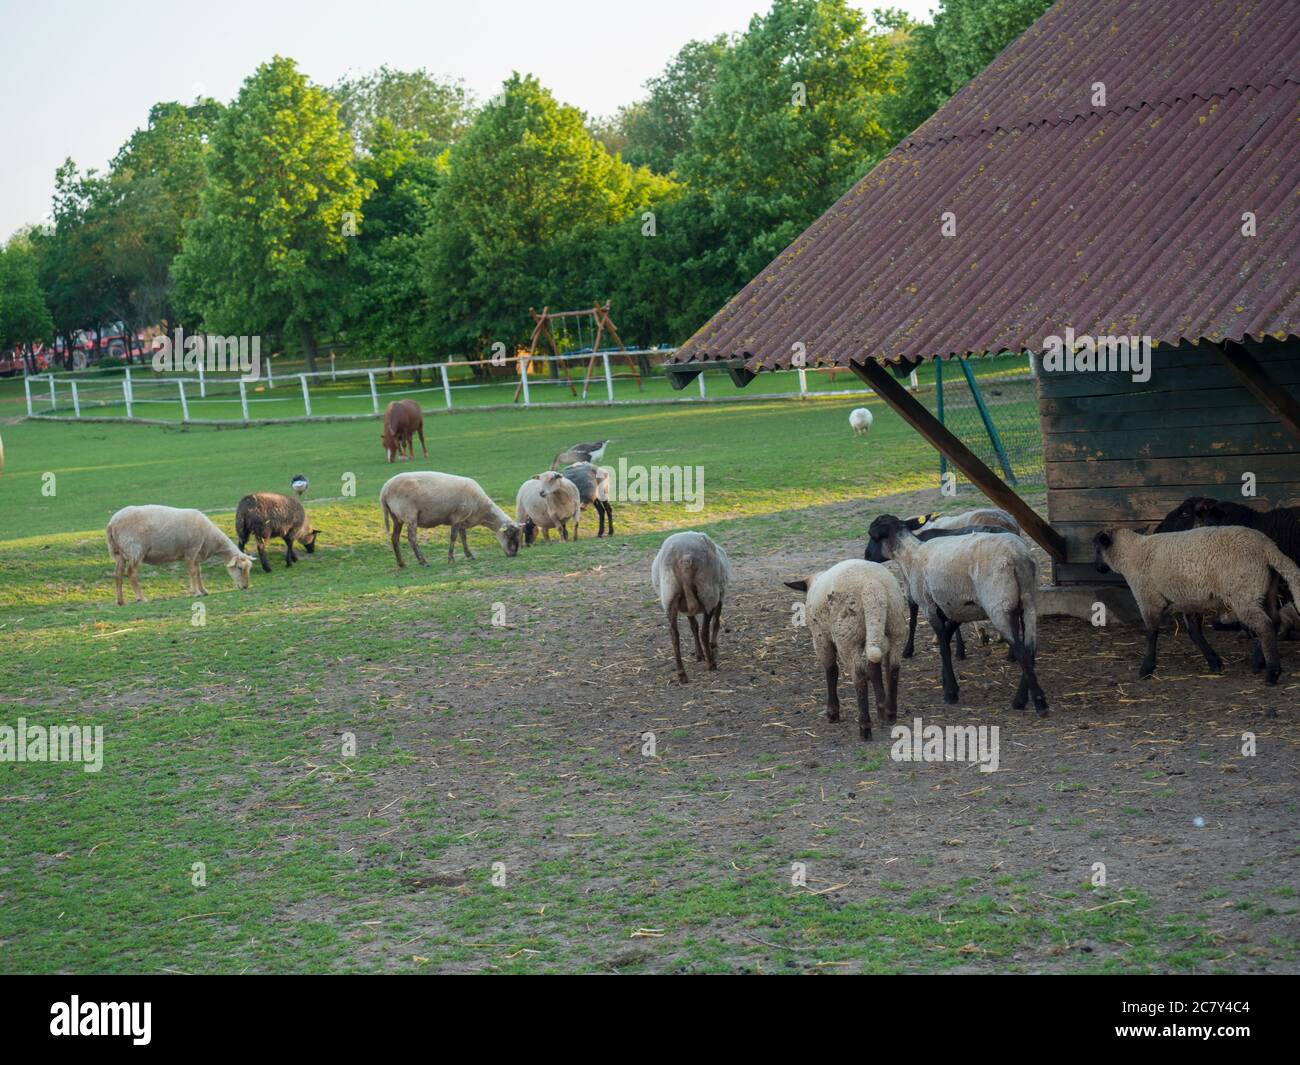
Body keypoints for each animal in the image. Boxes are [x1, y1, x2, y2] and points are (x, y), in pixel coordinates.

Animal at [106, 504, 254, 606]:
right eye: (239, 568)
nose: (245, 587)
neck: (210, 537)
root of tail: (112, 523)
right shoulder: (191, 550)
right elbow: (193, 572)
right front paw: (196, 593)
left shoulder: (196, 554)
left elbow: (198, 572)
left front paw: (203, 590)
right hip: (135, 550)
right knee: (131, 573)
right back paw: (141, 598)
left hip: (119, 553)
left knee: (118, 574)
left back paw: (120, 601)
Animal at [380, 471, 521, 566]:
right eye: (510, 535)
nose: (513, 555)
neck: (482, 510)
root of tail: (384, 490)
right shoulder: (457, 517)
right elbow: (453, 537)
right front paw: (451, 559)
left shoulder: (463, 520)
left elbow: (463, 537)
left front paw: (469, 555)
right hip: (410, 515)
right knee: (412, 538)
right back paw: (423, 561)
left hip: (396, 517)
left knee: (394, 538)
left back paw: (401, 563)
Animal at [651, 531, 732, 683]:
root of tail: (685, 558)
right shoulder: (719, 597)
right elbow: (715, 623)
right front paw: (712, 647)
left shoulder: (687, 610)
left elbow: (693, 627)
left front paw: (699, 654)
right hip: (707, 591)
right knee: (704, 632)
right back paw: (711, 663)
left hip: (670, 594)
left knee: (674, 635)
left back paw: (681, 673)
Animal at [784, 560, 908, 740]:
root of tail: (872, 586)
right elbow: (874, 670)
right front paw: (881, 709)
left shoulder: (821, 637)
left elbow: (831, 671)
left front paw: (832, 713)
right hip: (895, 625)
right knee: (892, 669)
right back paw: (890, 713)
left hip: (848, 635)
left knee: (859, 677)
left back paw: (864, 727)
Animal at [1093, 525, 1300, 689]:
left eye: (1096, 548)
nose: (1097, 568)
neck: (1132, 553)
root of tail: (1267, 547)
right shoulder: (1187, 600)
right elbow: (1195, 633)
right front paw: (1215, 663)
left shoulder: (1148, 599)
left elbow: (1151, 634)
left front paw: (1146, 669)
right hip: (1267, 589)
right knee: (1274, 620)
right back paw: (1259, 662)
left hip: (1244, 593)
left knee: (1265, 625)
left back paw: (1272, 673)